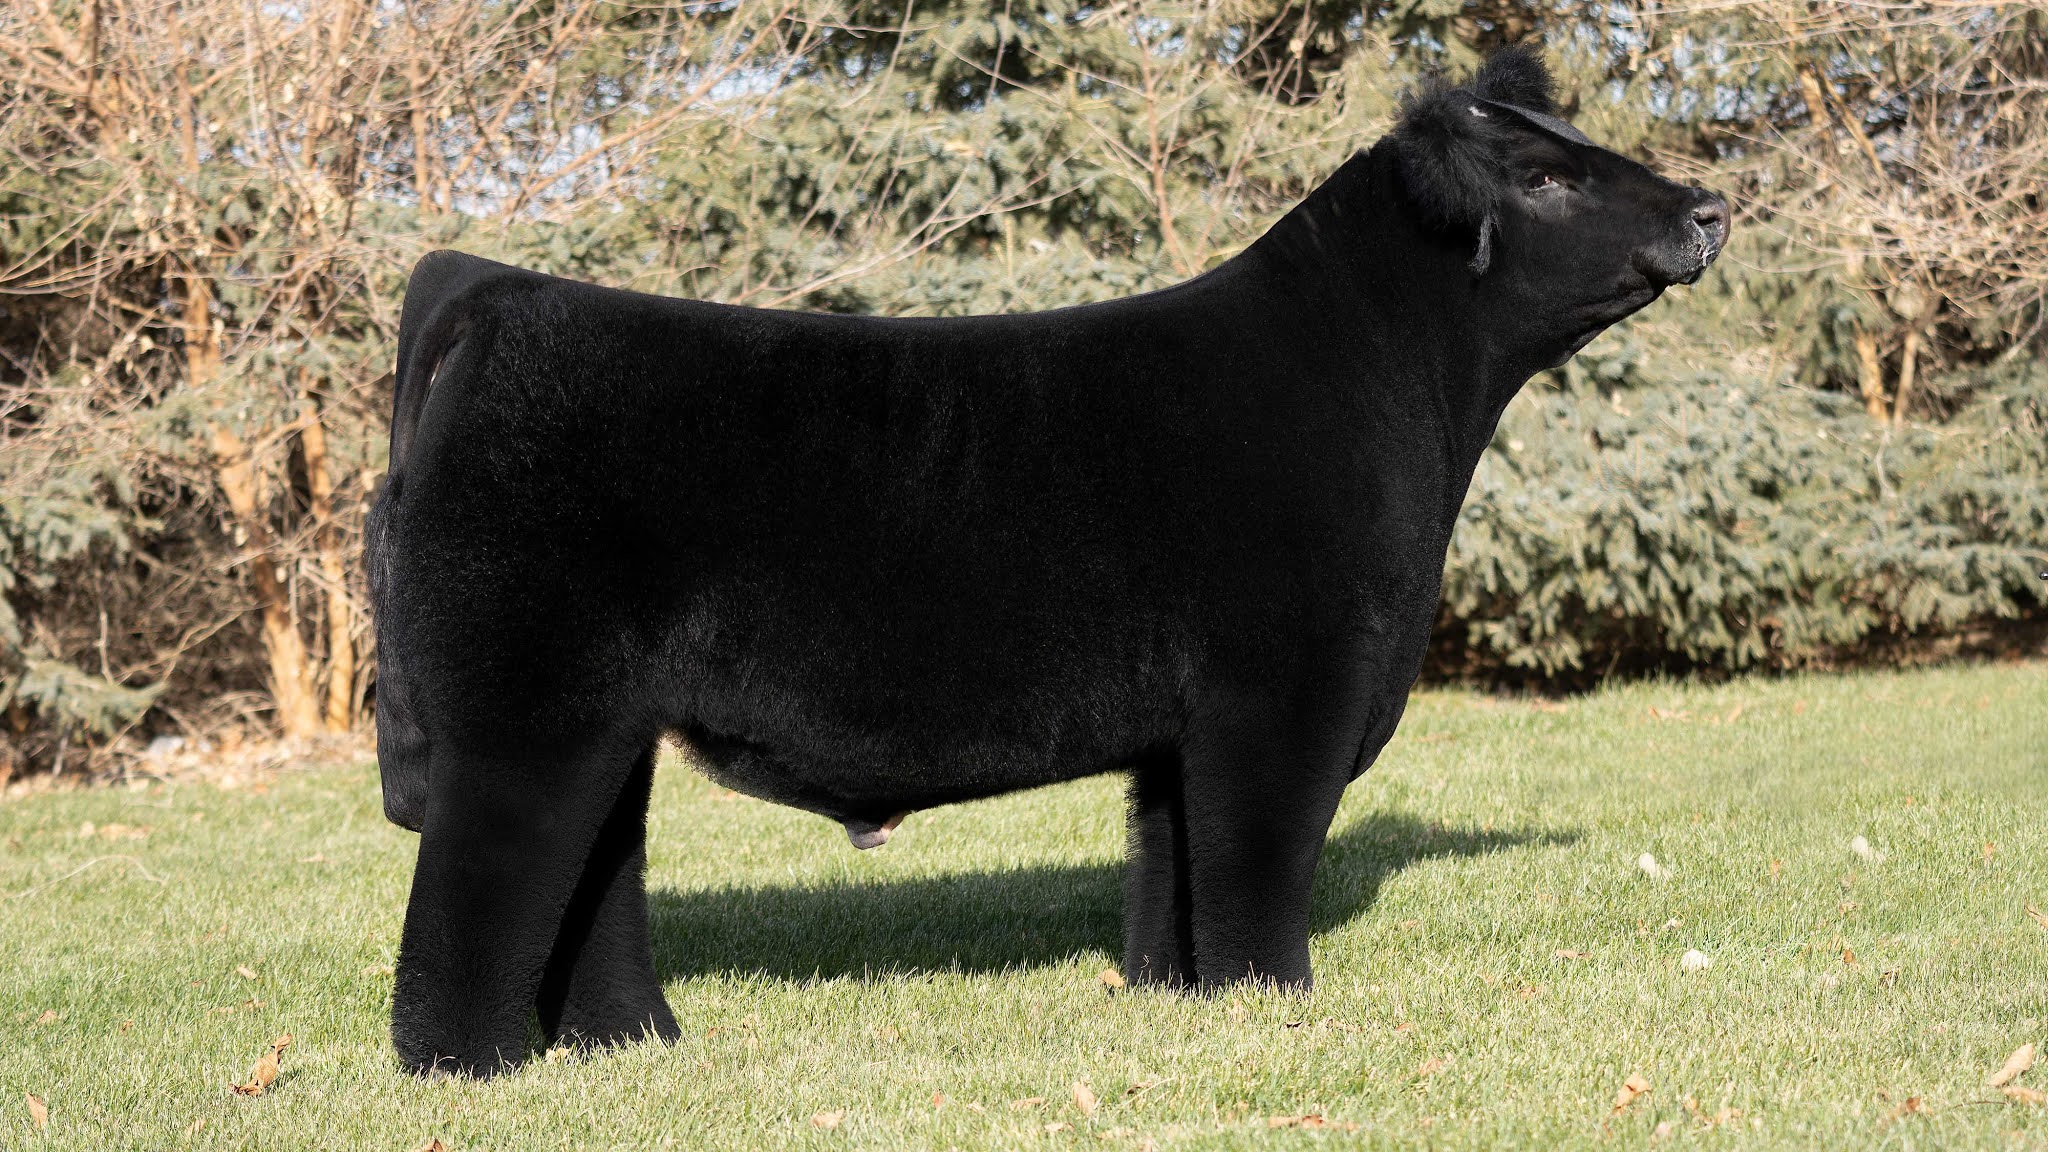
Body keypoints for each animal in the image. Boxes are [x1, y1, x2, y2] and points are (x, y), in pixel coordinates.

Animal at [367, 45, 1729, 1076]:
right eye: (1545, 177)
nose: (1707, 206)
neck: (1386, 391)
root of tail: (496, 292)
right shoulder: (1286, 693)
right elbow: (1257, 864)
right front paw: (1275, 1007)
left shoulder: (1187, 726)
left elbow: (1169, 868)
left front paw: (1182, 1002)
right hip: (524, 709)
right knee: (483, 882)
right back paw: (469, 1069)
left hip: (602, 716)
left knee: (594, 872)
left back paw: (633, 1045)